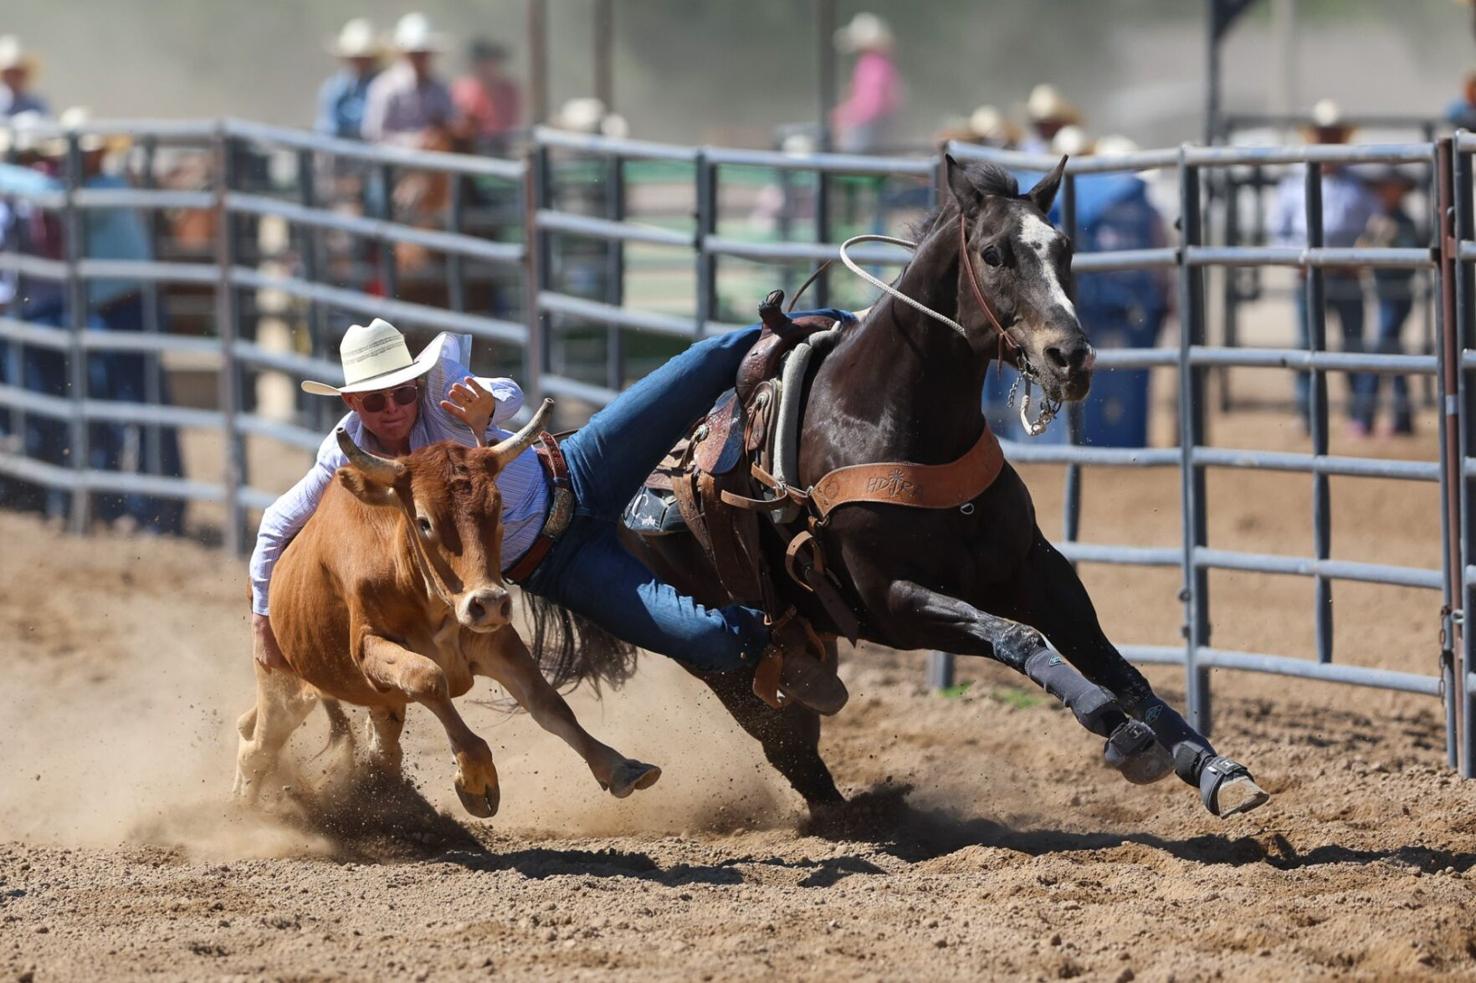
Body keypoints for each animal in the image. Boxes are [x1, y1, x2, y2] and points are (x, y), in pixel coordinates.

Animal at [233, 399, 661, 818]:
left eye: (498, 507)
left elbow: (548, 703)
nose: (489, 603)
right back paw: (243, 811)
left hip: (375, 700)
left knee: (375, 747)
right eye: (423, 521)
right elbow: (429, 678)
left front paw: (617, 766)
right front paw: (477, 777)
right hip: (284, 687)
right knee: (257, 749)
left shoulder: (494, 640)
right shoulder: (367, 648)